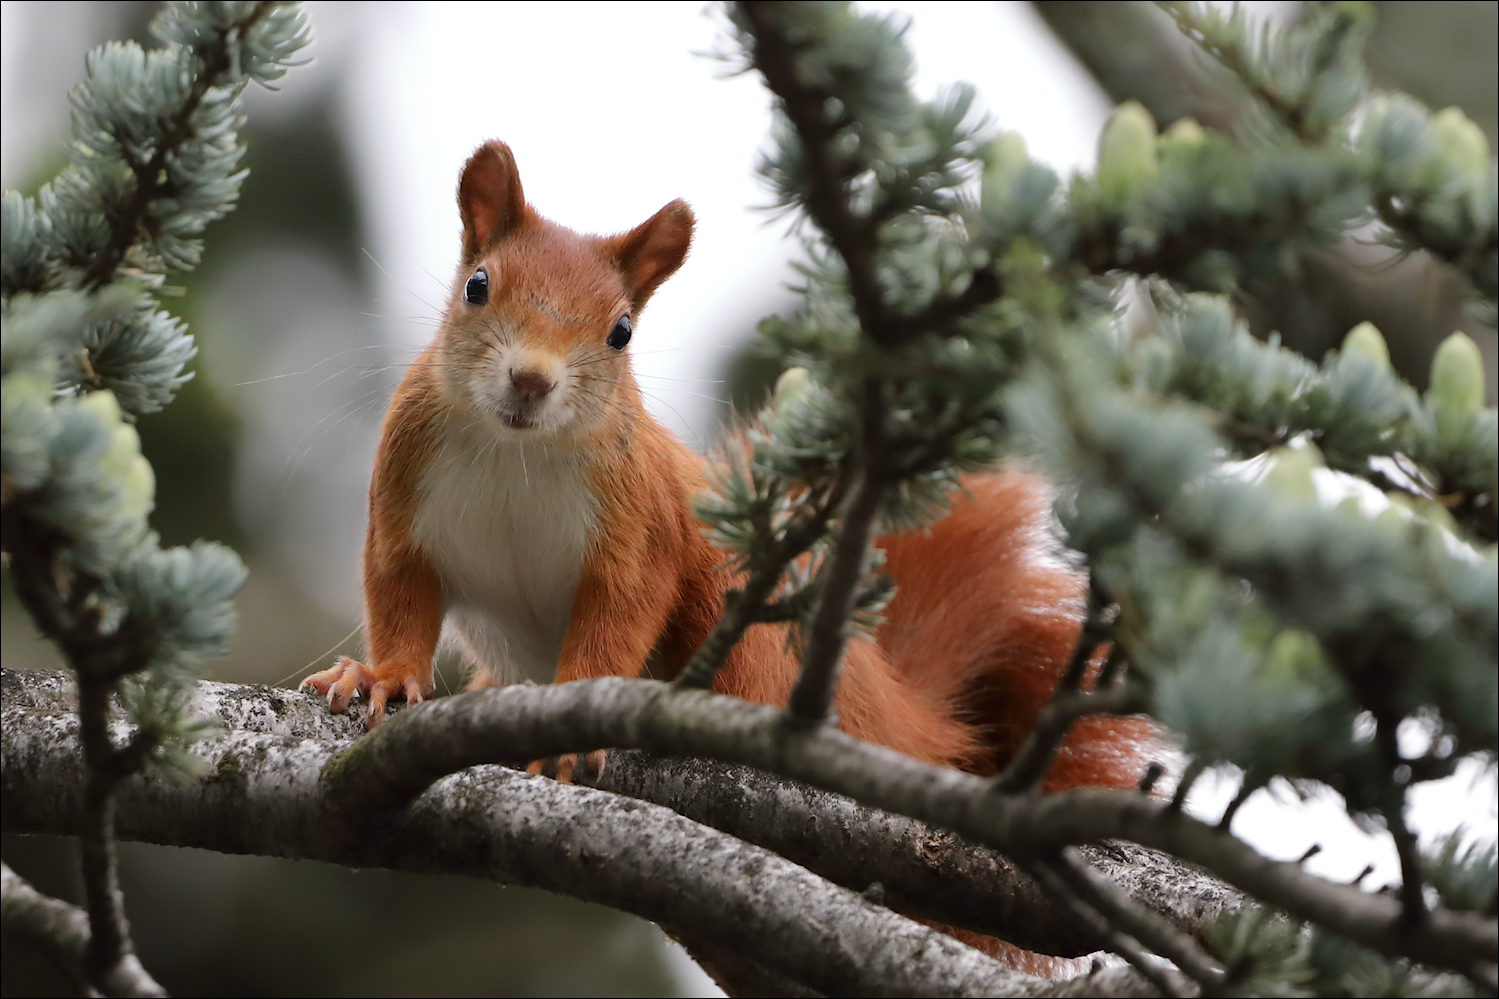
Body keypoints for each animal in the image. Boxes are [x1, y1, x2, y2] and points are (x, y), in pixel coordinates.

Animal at [300, 139, 1152, 795]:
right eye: (477, 286)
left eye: (620, 332)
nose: (531, 380)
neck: (518, 451)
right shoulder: (403, 487)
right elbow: (398, 589)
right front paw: (381, 676)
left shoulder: (637, 521)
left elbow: (621, 610)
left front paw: (570, 716)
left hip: (735, 609)